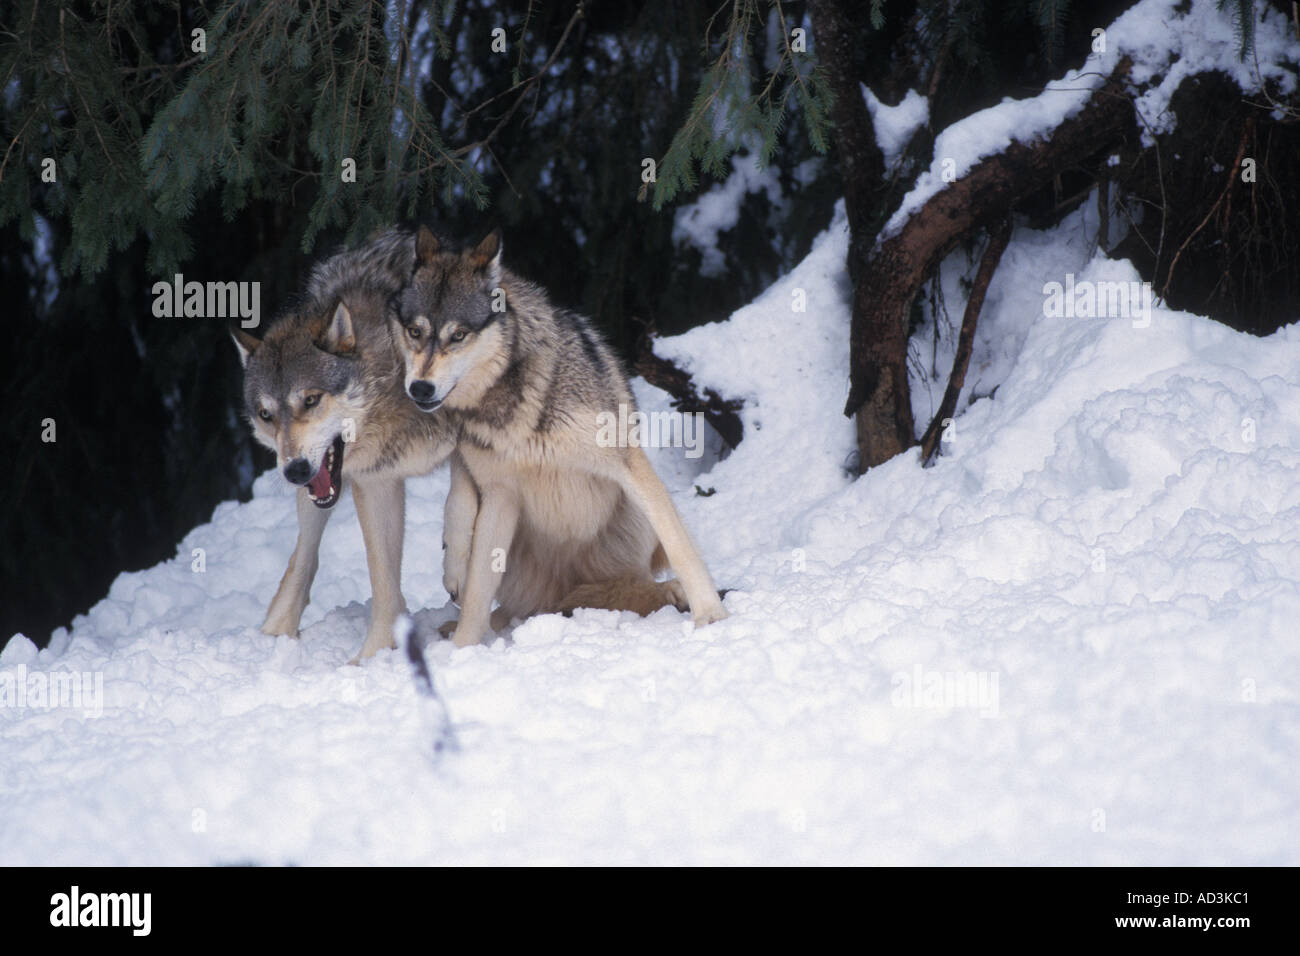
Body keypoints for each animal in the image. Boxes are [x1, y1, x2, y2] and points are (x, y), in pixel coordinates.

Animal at [232, 228, 469, 660]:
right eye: (266, 414)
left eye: (311, 400)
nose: (294, 471)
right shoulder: (373, 483)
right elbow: (383, 579)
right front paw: (373, 658)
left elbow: (458, 502)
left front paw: (457, 569)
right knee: (304, 554)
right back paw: (274, 633)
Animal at [387, 226, 729, 647]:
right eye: (415, 332)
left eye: (459, 335)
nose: (420, 388)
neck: (512, 403)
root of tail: (558, 596)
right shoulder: (500, 495)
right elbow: (479, 587)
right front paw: (463, 649)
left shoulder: (627, 465)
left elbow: (681, 547)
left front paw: (711, 615)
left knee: (634, 583)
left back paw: (671, 593)